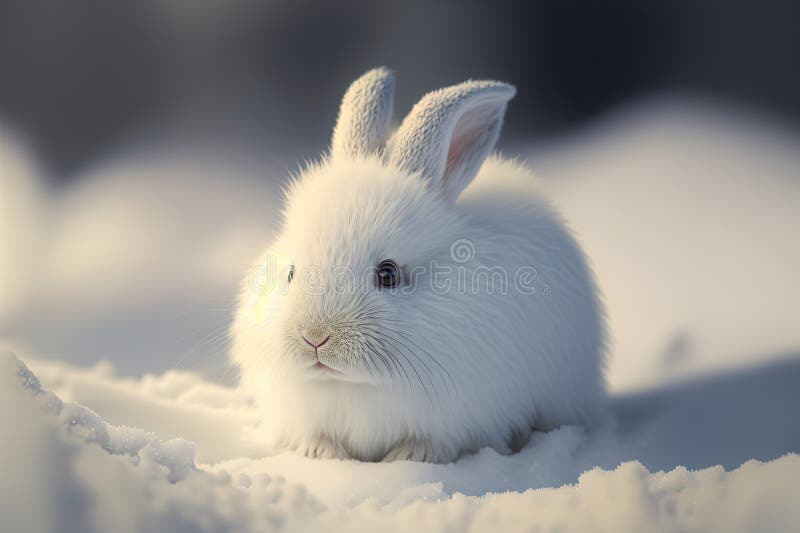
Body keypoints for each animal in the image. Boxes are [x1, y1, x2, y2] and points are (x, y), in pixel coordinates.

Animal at [230, 67, 606, 463]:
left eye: (388, 274)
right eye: (291, 273)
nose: (315, 337)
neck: (354, 384)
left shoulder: (463, 414)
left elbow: (434, 440)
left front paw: (407, 458)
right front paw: (321, 454)